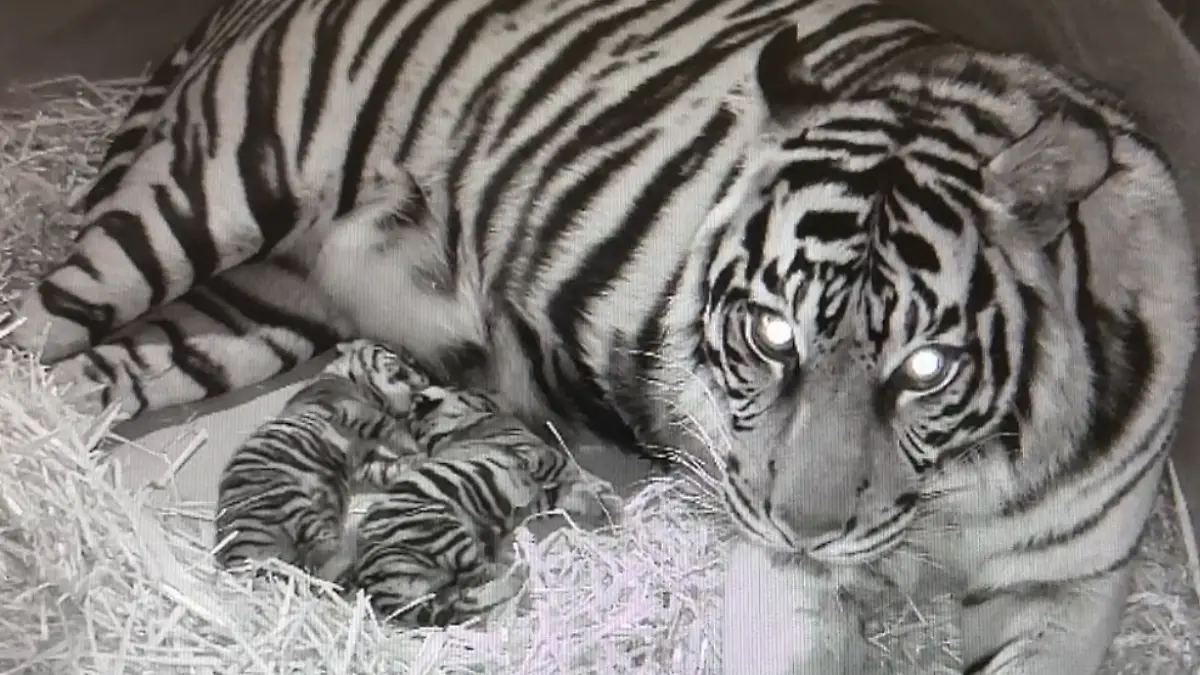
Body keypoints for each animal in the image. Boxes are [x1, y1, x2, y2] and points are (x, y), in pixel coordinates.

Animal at [215, 338, 432, 574]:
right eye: (398, 353)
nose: (426, 377)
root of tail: (233, 555)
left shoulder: (364, 461)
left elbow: (389, 469)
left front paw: (421, 459)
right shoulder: (353, 409)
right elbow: (391, 427)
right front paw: (419, 448)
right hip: (286, 498)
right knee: (327, 547)